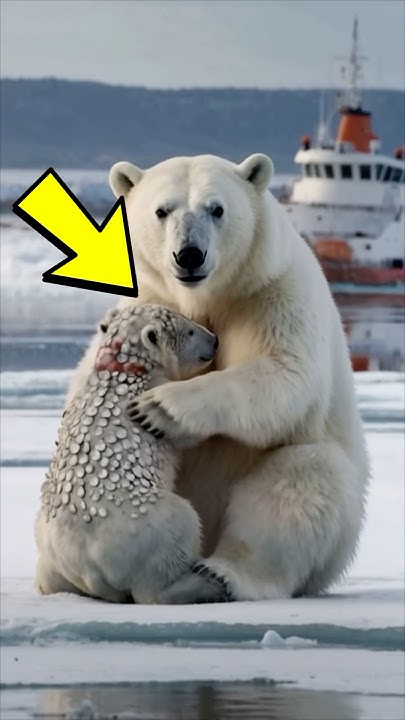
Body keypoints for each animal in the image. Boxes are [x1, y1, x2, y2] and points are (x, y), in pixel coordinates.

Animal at [35, 304, 218, 603]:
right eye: (190, 330)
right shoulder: (151, 389)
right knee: (172, 545)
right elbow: (183, 432)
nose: (215, 341)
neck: (122, 367)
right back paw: (206, 584)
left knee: (49, 578)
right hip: (149, 528)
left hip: (51, 551)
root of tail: (92, 571)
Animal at [67, 152, 369, 603]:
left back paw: (221, 573)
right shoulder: (148, 296)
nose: (189, 255)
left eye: (217, 209)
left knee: (301, 482)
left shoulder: (272, 294)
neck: (205, 298)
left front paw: (160, 408)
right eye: (162, 210)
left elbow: (286, 374)